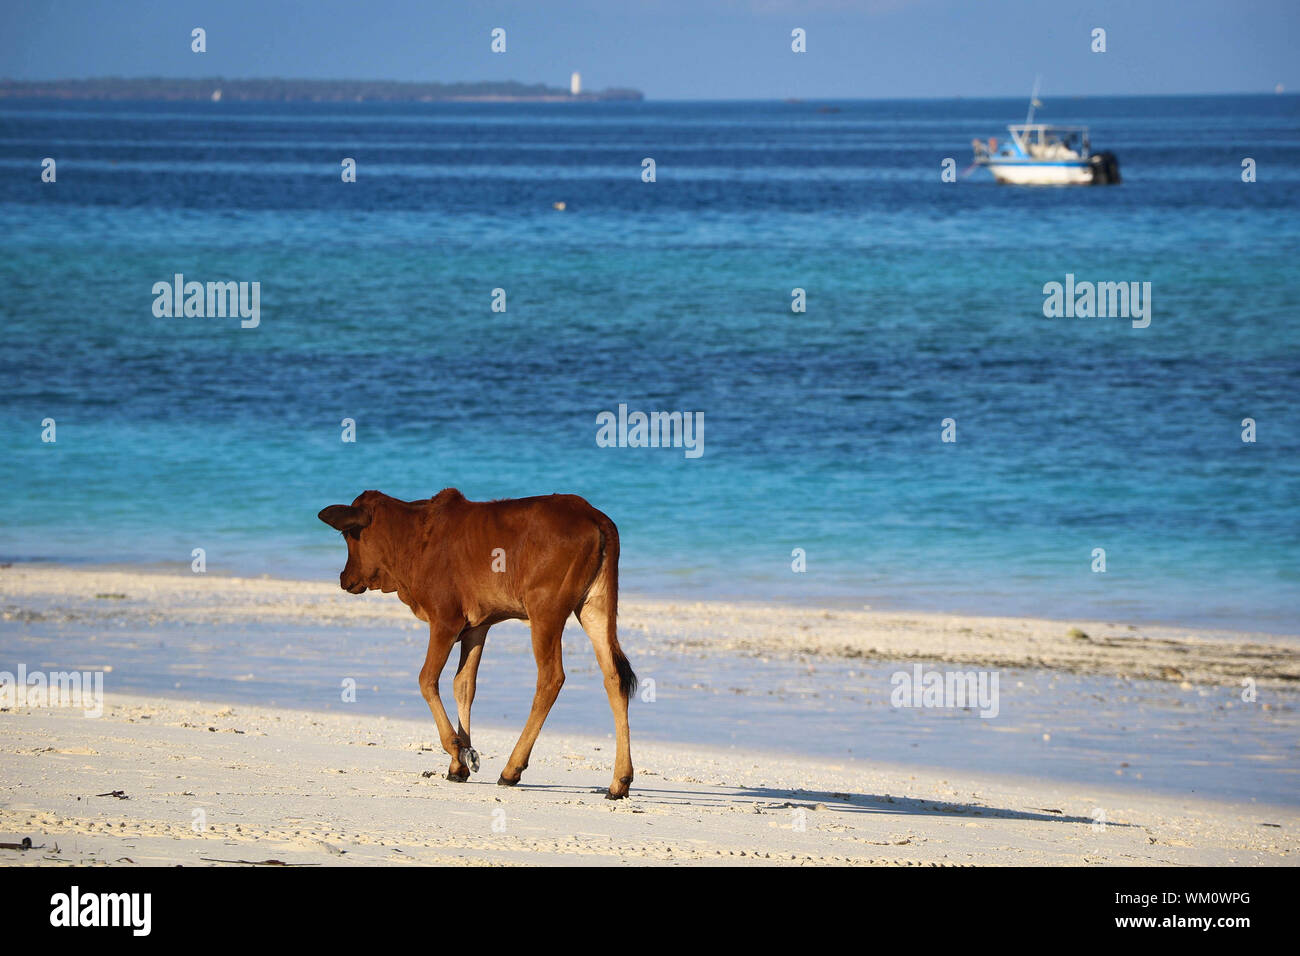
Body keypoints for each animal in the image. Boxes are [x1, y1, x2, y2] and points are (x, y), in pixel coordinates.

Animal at [317, 488, 636, 799]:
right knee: (614, 678)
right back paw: (619, 781)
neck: (411, 537)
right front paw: (458, 764)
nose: (344, 577)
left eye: (349, 535)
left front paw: (459, 750)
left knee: (551, 678)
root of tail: (593, 514)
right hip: (594, 607)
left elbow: (427, 679)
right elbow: (463, 686)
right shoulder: (477, 627)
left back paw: (512, 769)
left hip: (546, 610)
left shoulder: (445, 620)